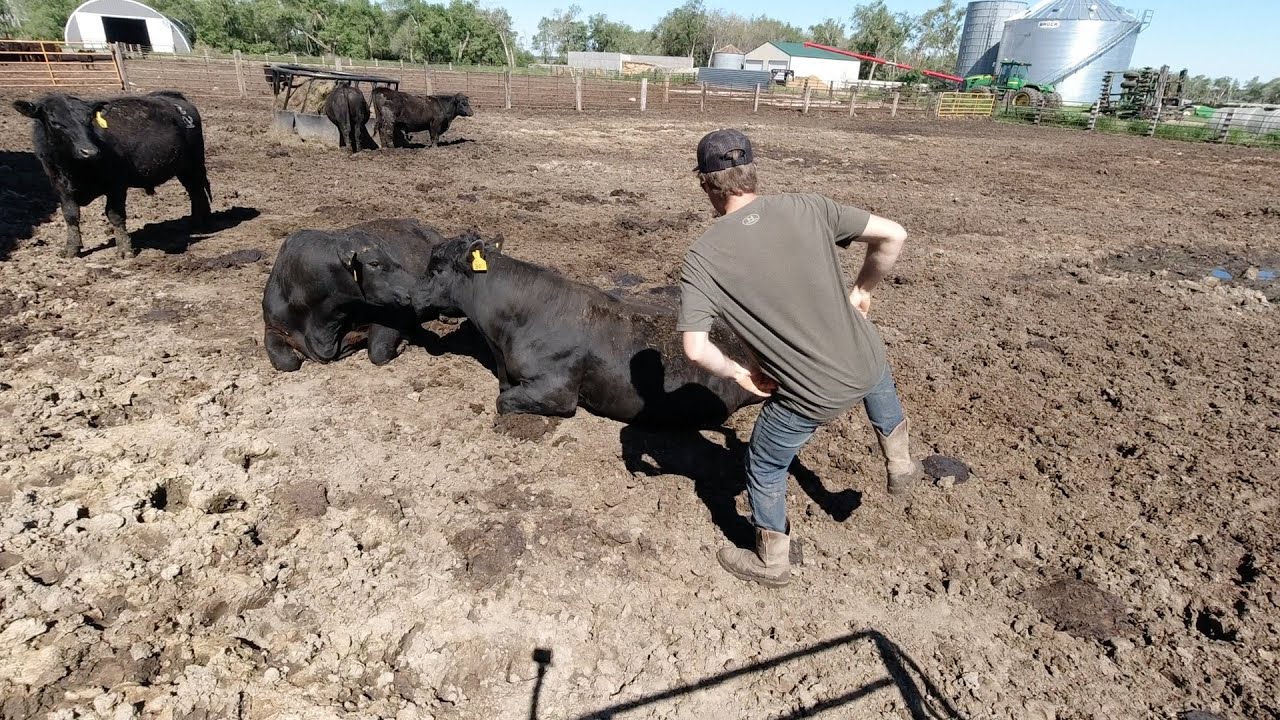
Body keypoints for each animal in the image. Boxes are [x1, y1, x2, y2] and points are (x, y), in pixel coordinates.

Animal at [12, 90, 211, 259]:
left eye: (88, 120)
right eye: (55, 122)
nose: (90, 151)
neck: (75, 168)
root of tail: (174, 97)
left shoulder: (116, 185)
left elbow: (115, 215)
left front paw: (124, 250)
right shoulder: (61, 189)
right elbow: (71, 216)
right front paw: (72, 249)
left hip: (193, 165)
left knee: (196, 191)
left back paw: (198, 224)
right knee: (196, 191)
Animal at [261, 218, 447, 372]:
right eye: (374, 263)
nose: (417, 290)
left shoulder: (397, 313)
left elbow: (378, 350)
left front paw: (403, 342)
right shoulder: (273, 326)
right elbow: (286, 362)